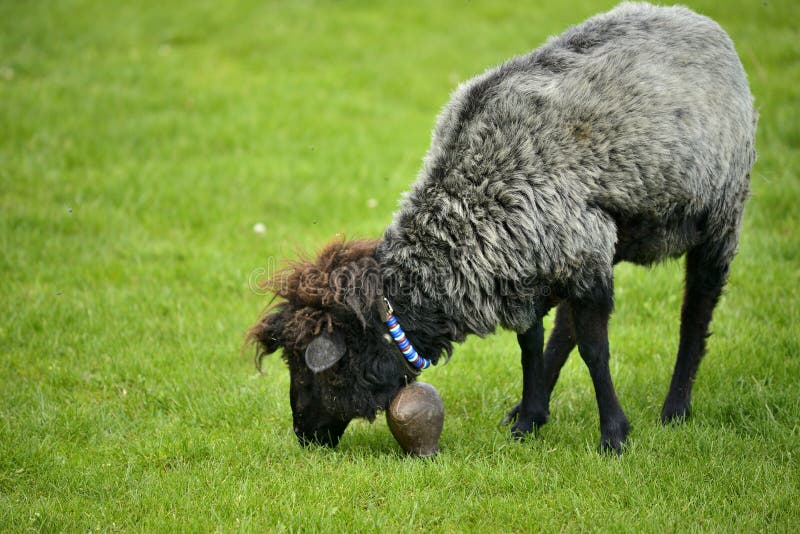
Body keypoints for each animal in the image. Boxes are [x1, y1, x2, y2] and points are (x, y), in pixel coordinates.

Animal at [248, 2, 757, 452]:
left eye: (318, 370)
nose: (305, 437)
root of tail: (692, 18)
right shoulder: (526, 268)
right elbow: (531, 346)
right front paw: (529, 420)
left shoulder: (574, 260)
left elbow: (596, 352)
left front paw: (613, 435)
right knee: (567, 326)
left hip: (719, 215)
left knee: (696, 314)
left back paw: (676, 408)